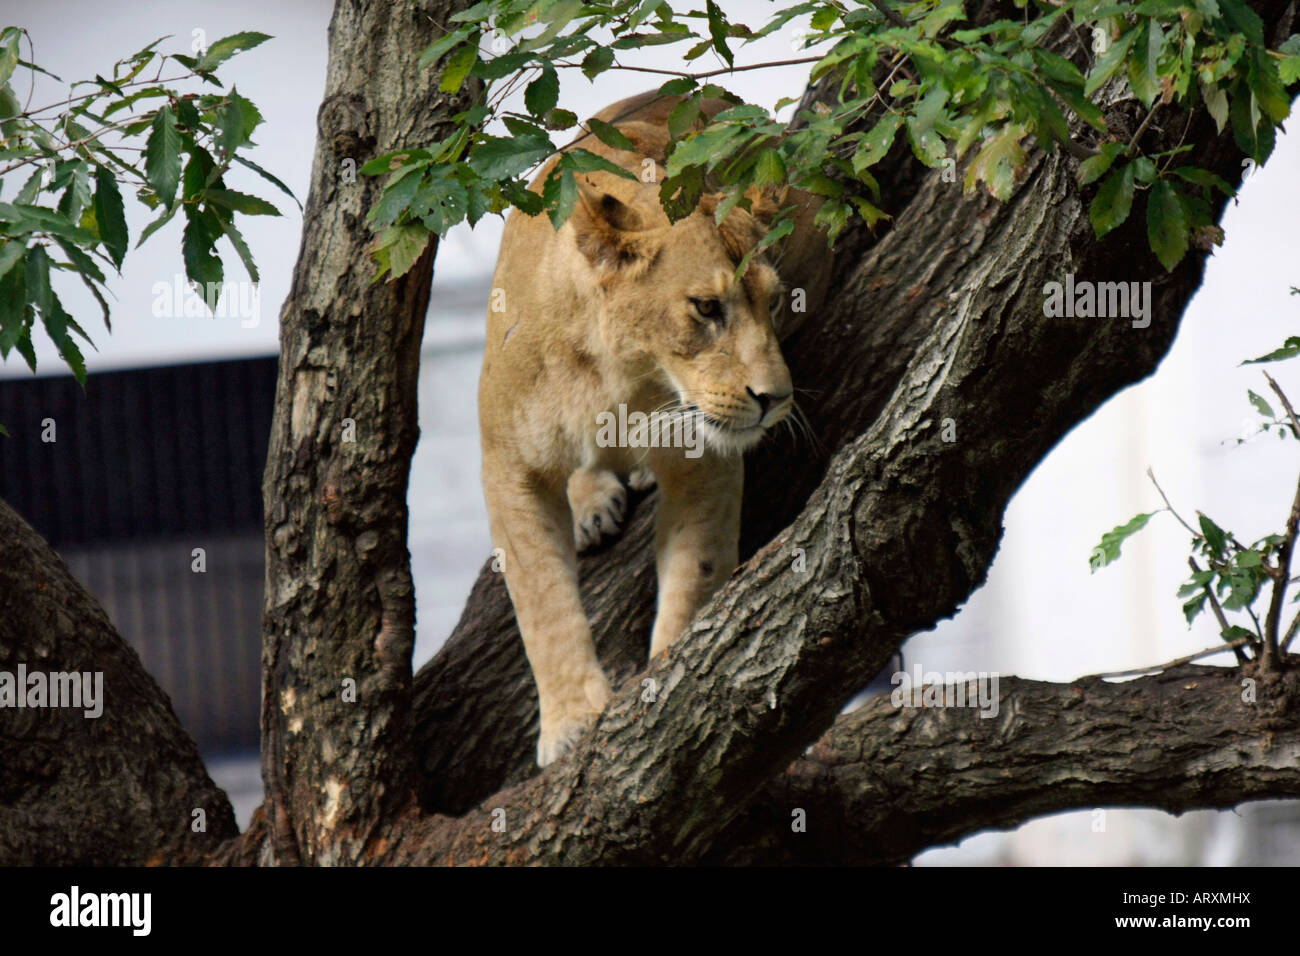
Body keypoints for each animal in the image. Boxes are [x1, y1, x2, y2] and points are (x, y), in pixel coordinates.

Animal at [478, 90, 830, 766]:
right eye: (707, 308)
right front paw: (570, 721)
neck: (617, 376)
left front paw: (675, 676)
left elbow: (696, 571)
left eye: (772, 302)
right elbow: (541, 599)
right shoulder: (507, 463)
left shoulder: (705, 458)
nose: (776, 399)